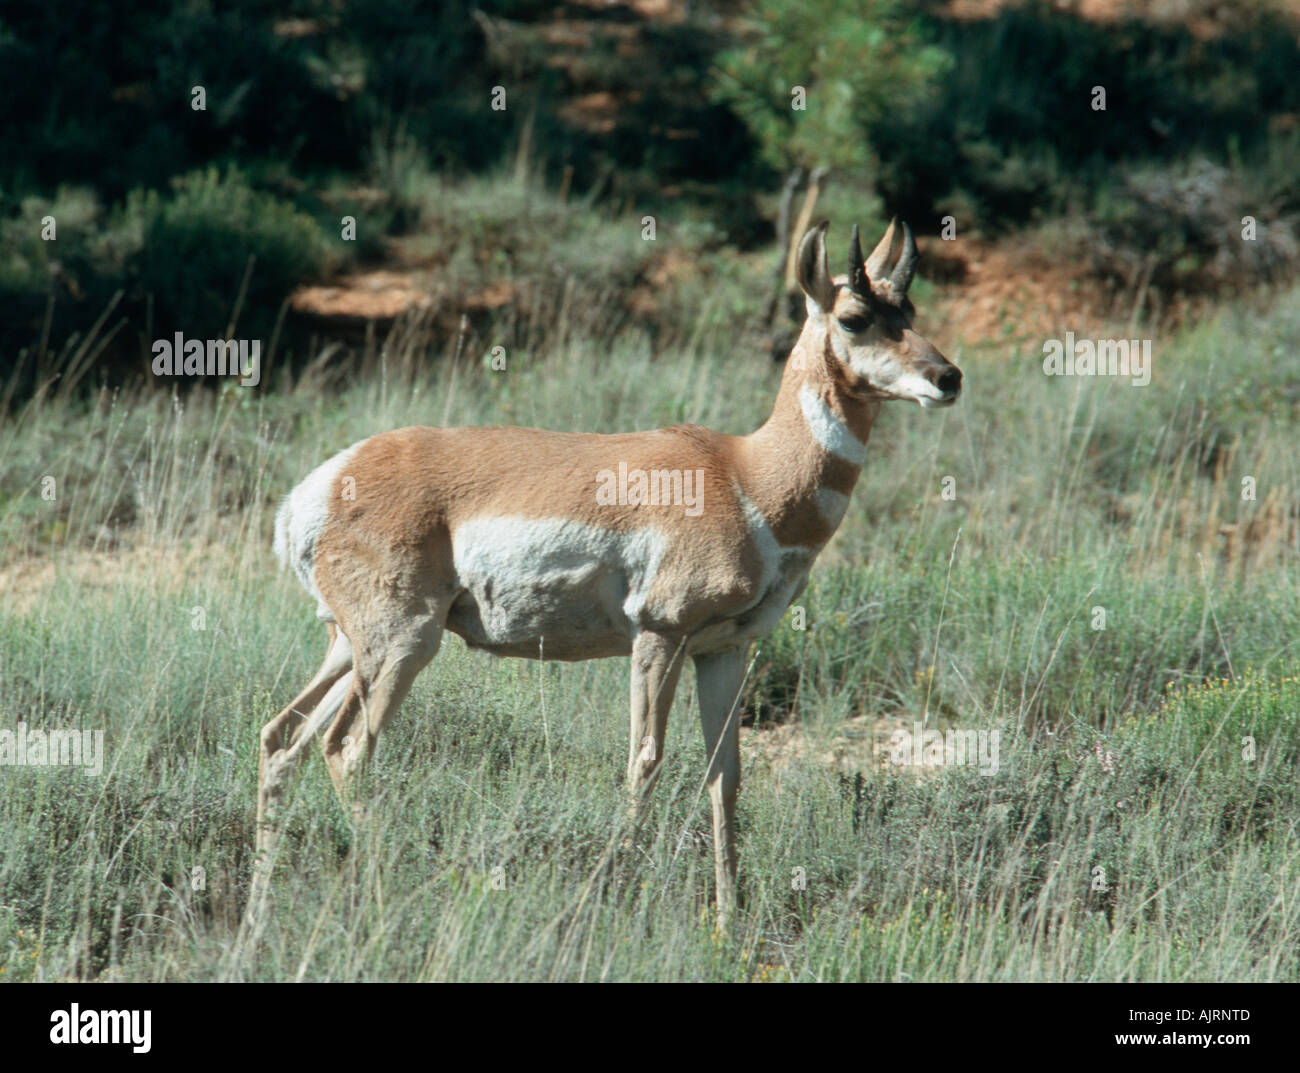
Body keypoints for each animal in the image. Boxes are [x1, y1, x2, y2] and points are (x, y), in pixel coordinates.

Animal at [250, 220, 961, 927]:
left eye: (909, 310)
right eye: (855, 317)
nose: (948, 377)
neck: (746, 477)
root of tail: (319, 488)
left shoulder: (725, 649)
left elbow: (725, 776)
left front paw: (728, 923)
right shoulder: (659, 636)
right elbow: (644, 762)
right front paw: (618, 896)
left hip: (351, 646)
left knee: (282, 737)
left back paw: (263, 908)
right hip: (403, 643)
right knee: (346, 750)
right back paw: (378, 894)